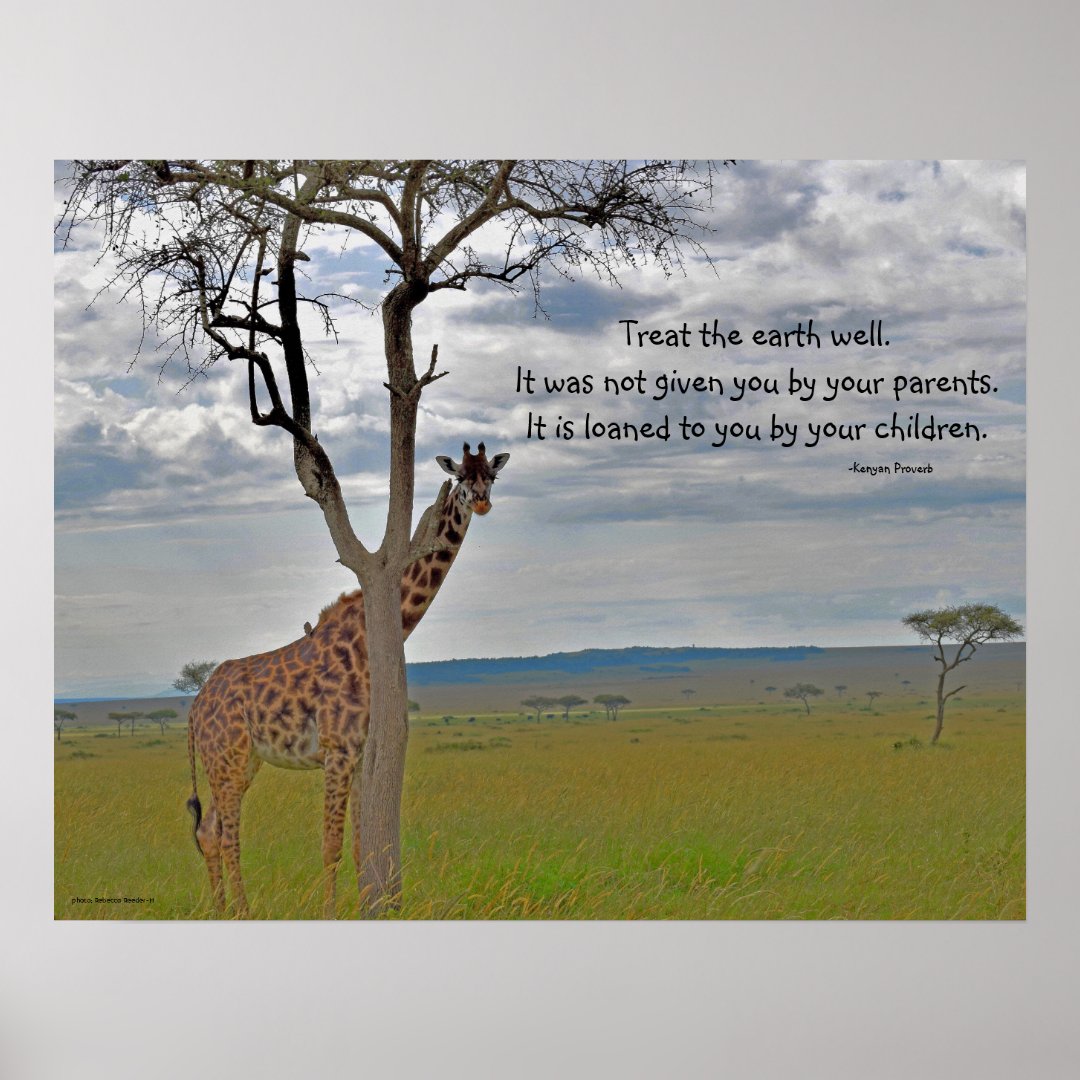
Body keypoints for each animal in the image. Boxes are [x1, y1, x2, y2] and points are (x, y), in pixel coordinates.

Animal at [185, 442, 509, 917]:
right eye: (461, 477)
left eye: (492, 475)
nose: (483, 502)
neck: (365, 641)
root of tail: (194, 707)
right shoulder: (337, 750)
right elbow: (330, 847)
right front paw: (330, 914)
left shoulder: (357, 753)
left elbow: (358, 848)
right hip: (226, 757)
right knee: (226, 834)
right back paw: (241, 912)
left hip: (241, 761)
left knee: (209, 830)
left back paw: (221, 911)